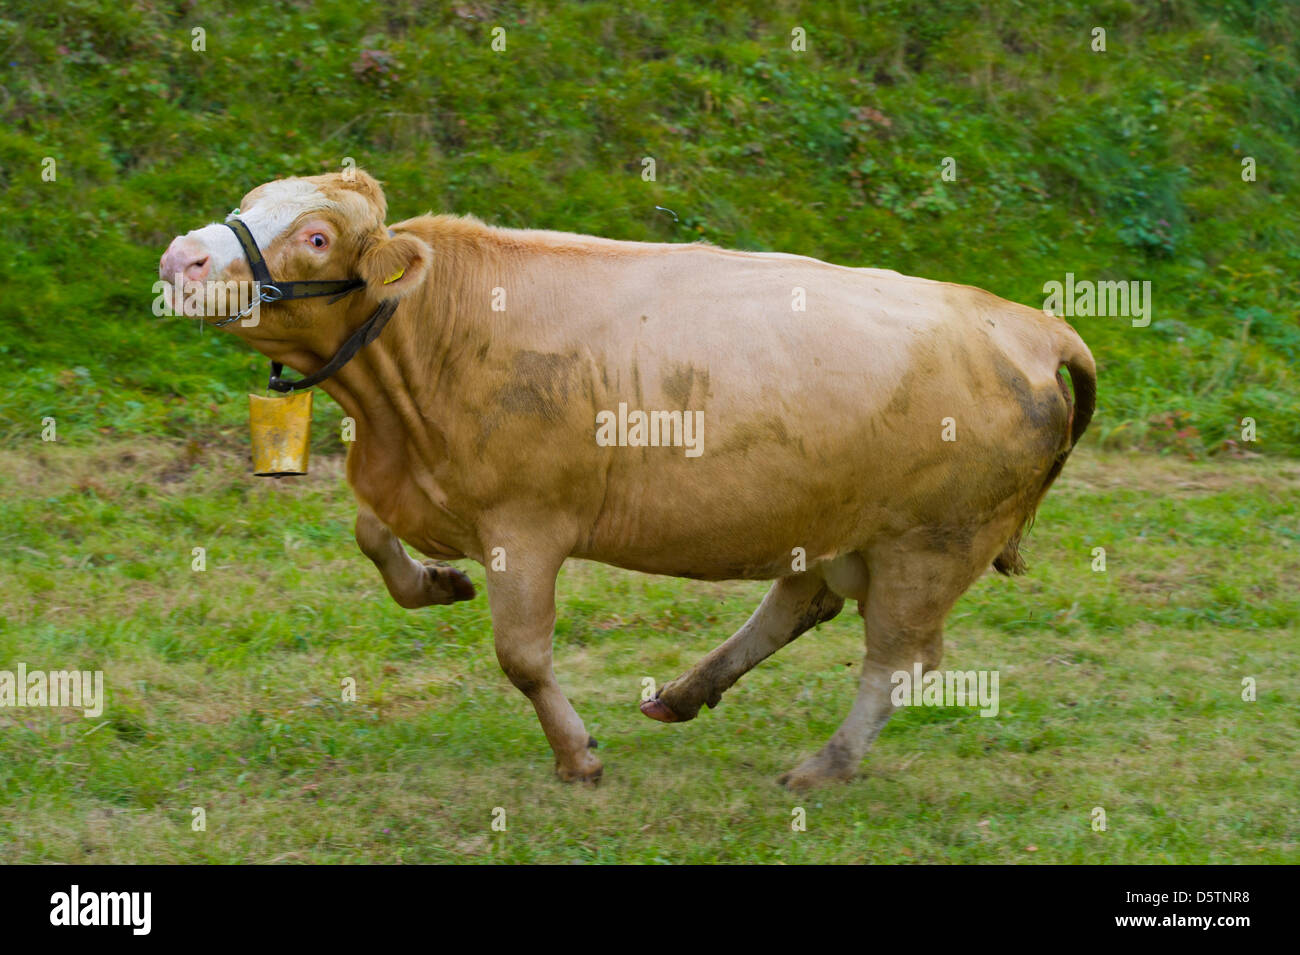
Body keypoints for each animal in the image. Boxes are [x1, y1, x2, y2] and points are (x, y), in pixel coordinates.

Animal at [159, 170, 1095, 789]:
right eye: (249, 202)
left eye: (315, 235)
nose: (180, 258)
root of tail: (1033, 324)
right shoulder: (419, 486)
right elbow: (369, 532)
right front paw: (435, 581)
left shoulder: (526, 523)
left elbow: (521, 654)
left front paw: (576, 754)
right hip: (832, 519)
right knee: (802, 602)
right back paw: (686, 692)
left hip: (930, 545)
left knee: (898, 658)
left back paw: (822, 765)